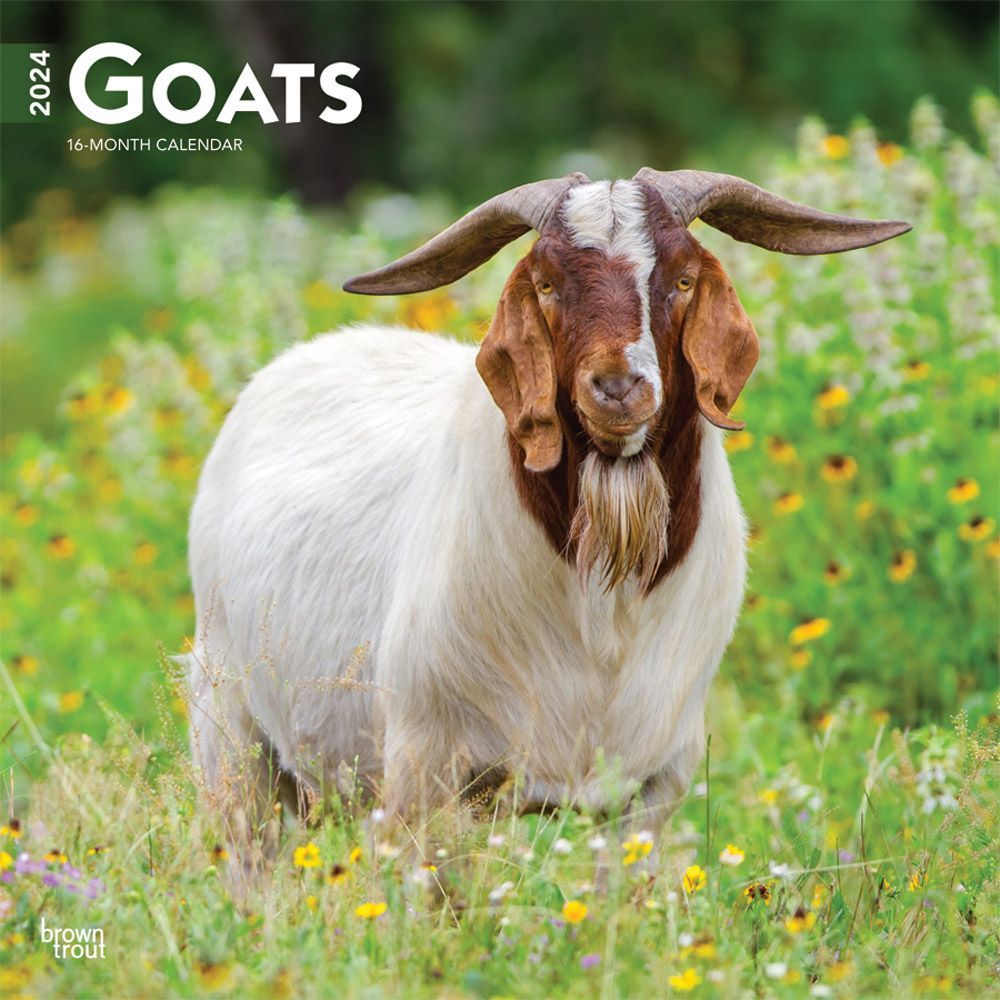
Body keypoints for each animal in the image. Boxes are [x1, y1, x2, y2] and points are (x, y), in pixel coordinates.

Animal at [185, 170, 909, 844]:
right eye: (546, 283)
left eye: (680, 278)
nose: (617, 387)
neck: (602, 610)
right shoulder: (427, 769)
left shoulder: (654, 783)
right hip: (232, 738)